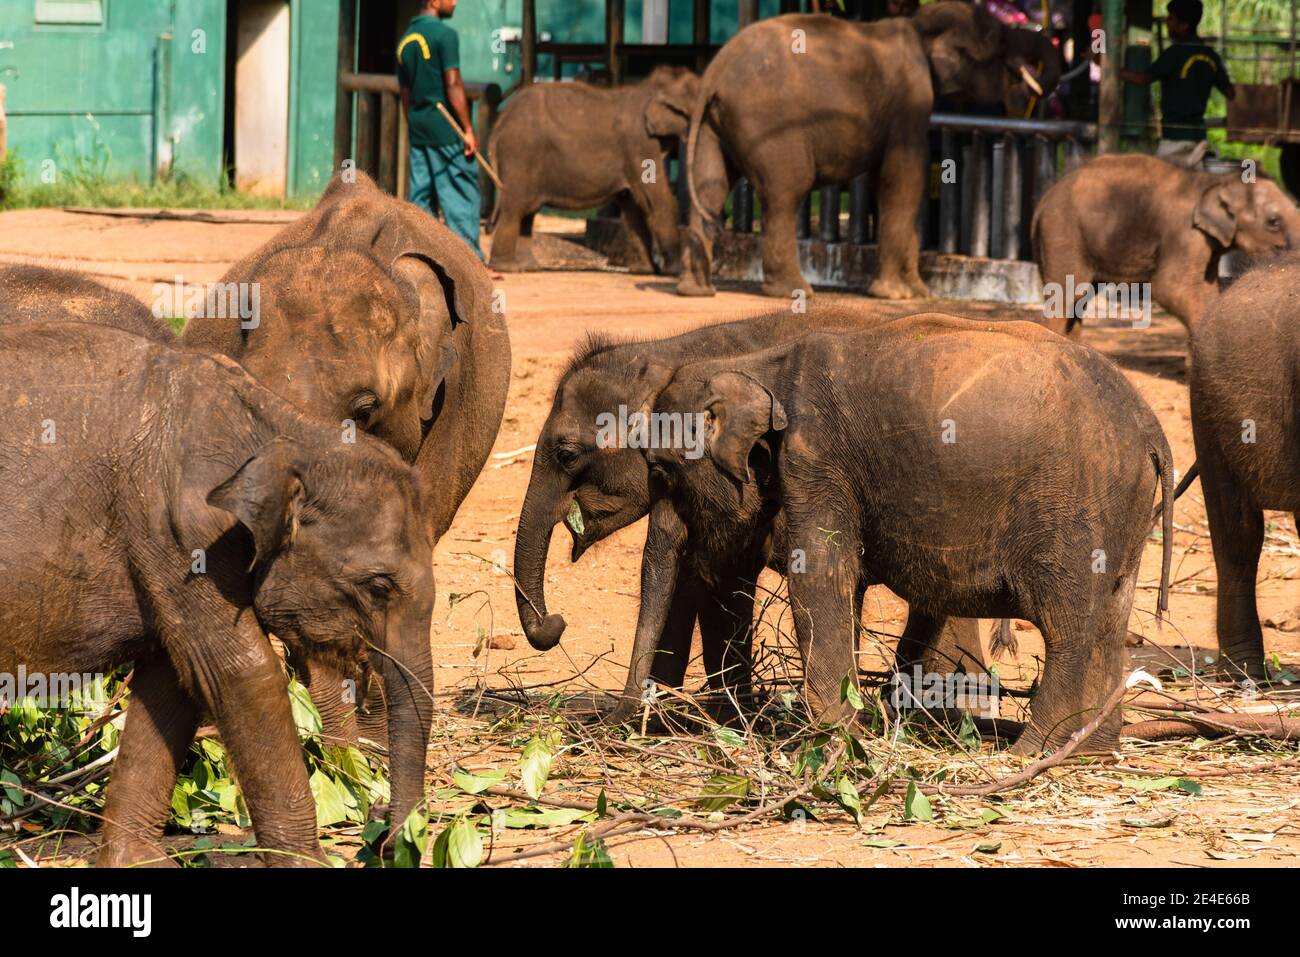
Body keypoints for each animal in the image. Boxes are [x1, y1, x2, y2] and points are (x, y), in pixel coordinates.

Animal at [0, 323, 435, 866]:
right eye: (378, 587)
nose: (384, 839)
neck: (282, 430)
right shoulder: (180, 532)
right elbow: (242, 675)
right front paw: (310, 863)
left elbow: (174, 682)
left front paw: (138, 861)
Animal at [487, 66, 700, 275]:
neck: (651, 89)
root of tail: (500, 123)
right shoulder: (639, 144)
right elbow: (656, 201)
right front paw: (674, 271)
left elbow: (632, 206)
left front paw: (644, 270)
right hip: (520, 154)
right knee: (515, 207)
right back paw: (507, 267)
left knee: (527, 211)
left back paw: (529, 266)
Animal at [628, 314, 1174, 753]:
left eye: (659, 471)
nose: (635, 722)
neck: (758, 364)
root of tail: (1151, 428)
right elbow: (840, 585)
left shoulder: (814, 460)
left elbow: (820, 580)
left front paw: (840, 738)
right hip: (1122, 512)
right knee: (1111, 618)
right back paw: (1089, 751)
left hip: (1071, 506)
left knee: (1068, 625)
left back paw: (1032, 752)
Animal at [677, 1, 1054, 300]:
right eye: (1000, 42)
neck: (920, 27)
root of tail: (714, 72)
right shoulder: (911, 99)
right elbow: (904, 178)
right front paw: (899, 296)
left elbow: (882, 182)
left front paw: (917, 292)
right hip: (766, 125)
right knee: (785, 193)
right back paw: (795, 291)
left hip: (713, 124)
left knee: (711, 189)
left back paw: (696, 290)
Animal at [1033, 154, 1300, 335]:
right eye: (1273, 221)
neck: (1212, 181)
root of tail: (1044, 198)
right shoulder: (1184, 235)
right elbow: (1170, 288)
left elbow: (1206, 289)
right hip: (1062, 232)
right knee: (1066, 294)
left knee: (1079, 300)